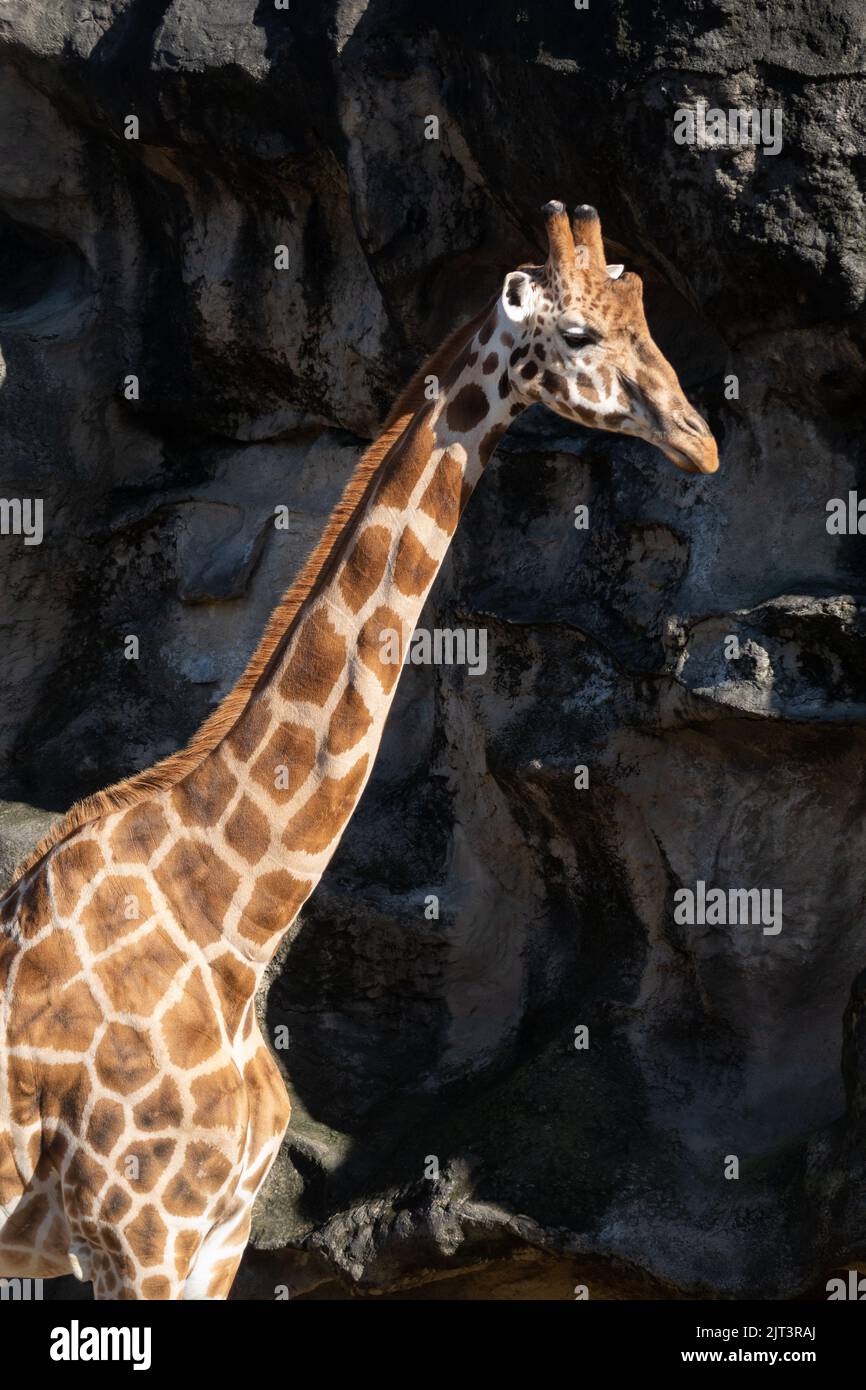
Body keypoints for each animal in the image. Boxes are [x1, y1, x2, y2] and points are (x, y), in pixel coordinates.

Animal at [0, 202, 718, 1300]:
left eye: (646, 321)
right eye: (580, 334)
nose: (701, 440)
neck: (231, 916)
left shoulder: (215, 1232)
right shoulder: (140, 1232)